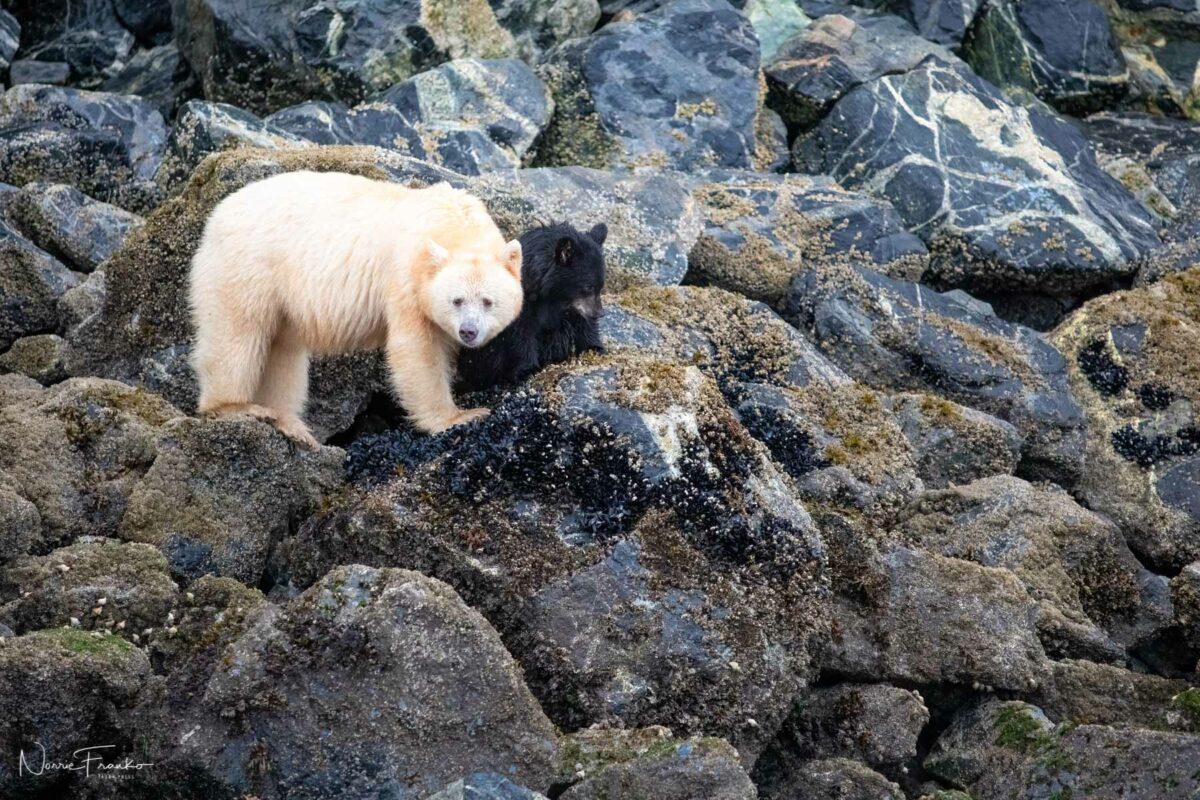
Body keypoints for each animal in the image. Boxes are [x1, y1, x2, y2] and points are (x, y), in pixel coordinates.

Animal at [188, 171, 524, 447]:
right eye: (457, 300)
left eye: (487, 301)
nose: (468, 331)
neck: (450, 221)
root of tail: (215, 216)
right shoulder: (406, 276)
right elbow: (416, 349)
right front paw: (459, 416)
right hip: (248, 266)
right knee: (237, 333)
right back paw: (235, 407)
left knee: (281, 351)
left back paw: (290, 423)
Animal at [456, 221, 607, 393]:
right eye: (588, 287)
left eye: (601, 286)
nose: (600, 313)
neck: (551, 293)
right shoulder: (523, 305)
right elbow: (521, 335)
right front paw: (527, 370)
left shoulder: (574, 307)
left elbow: (584, 323)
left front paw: (595, 349)